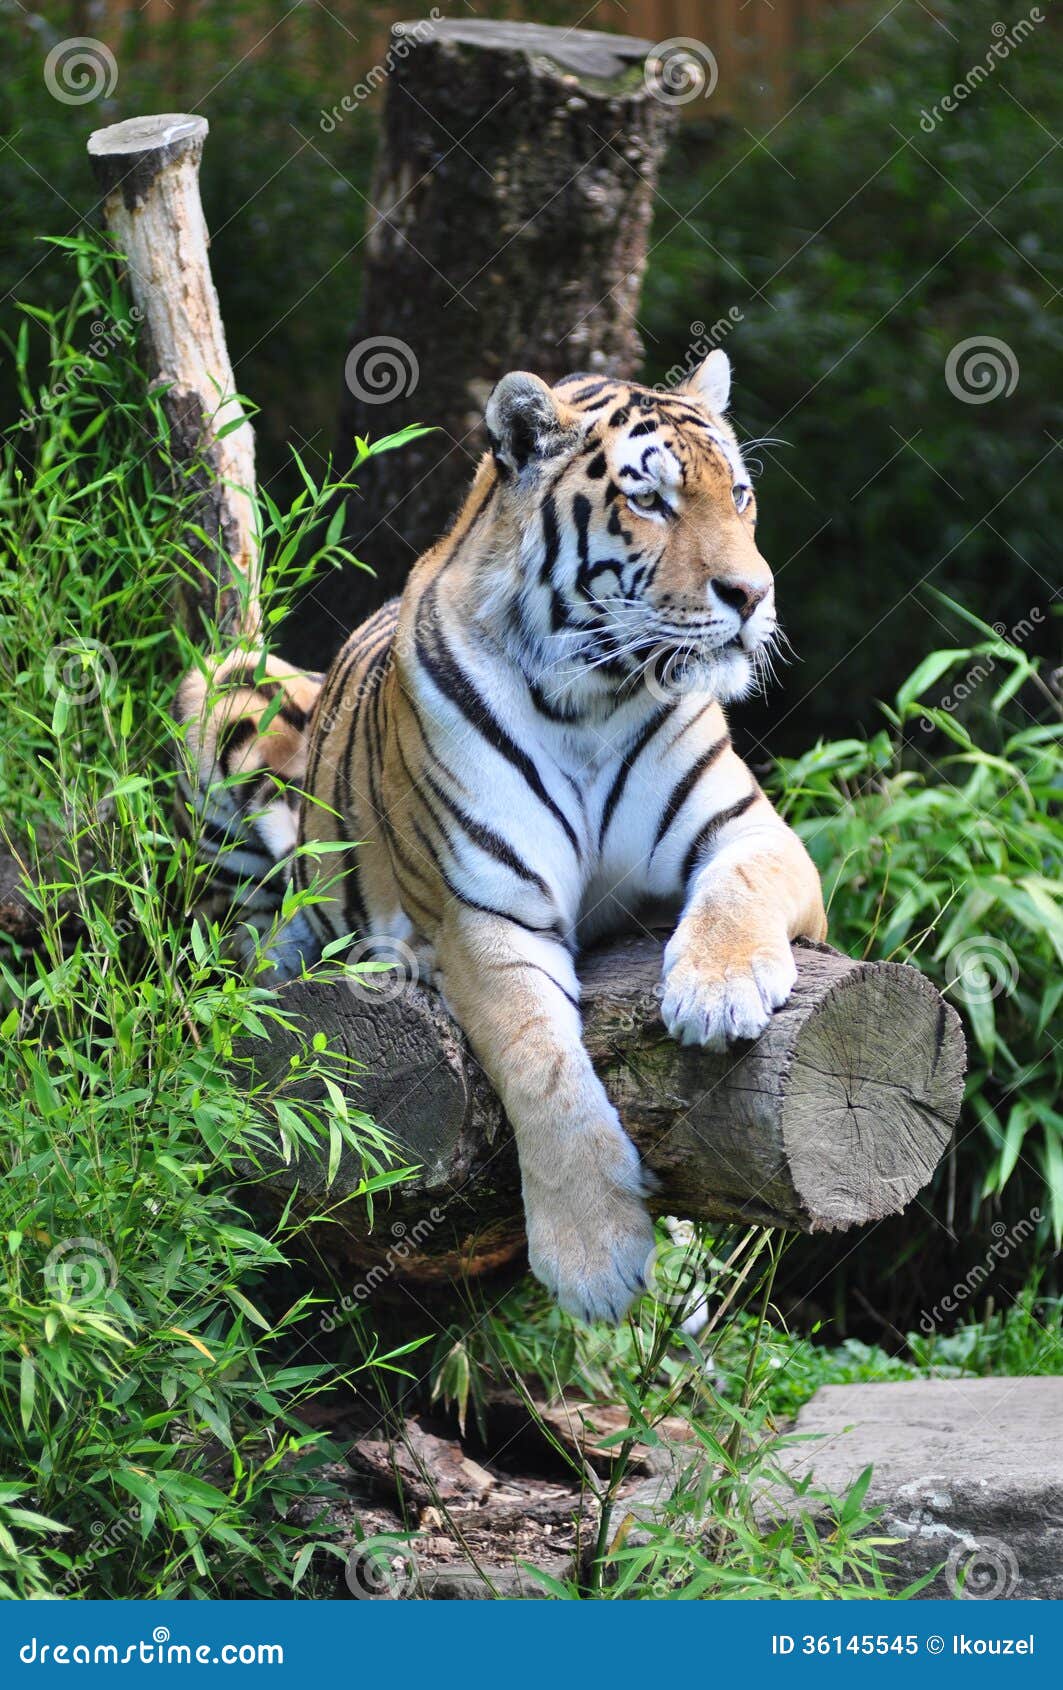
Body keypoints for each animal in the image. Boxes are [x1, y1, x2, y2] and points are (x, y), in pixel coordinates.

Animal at [175, 348, 827, 1326]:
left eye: (739, 495)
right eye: (651, 499)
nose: (752, 596)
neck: (593, 698)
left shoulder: (752, 833)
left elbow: (737, 892)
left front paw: (718, 994)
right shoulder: (488, 914)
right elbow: (541, 1065)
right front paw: (595, 1260)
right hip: (223, 690)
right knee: (234, 955)